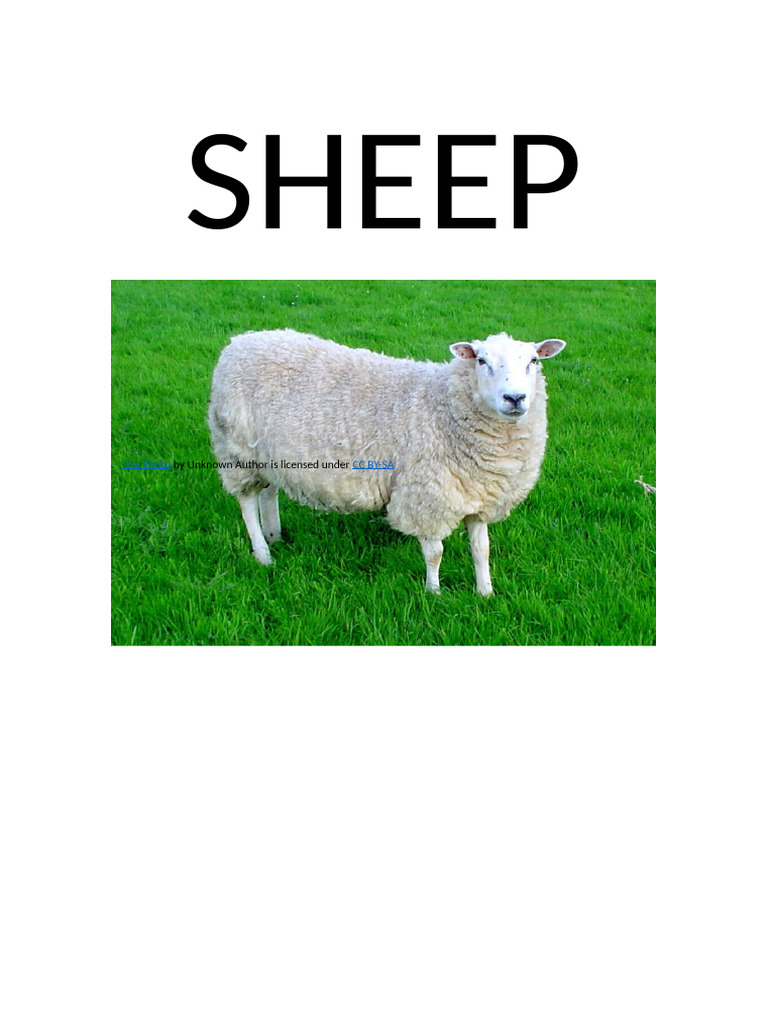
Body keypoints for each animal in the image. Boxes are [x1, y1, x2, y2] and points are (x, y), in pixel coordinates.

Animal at [208, 329, 566, 595]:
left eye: (534, 360)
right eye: (481, 360)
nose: (515, 398)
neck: (445, 407)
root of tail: (240, 341)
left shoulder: (477, 495)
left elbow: (482, 550)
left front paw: (485, 593)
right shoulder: (425, 495)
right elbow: (434, 553)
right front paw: (433, 593)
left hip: (267, 454)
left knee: (269, 493)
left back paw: (275, 536)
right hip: (236, 450)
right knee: (247, 502)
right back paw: (263, 554)